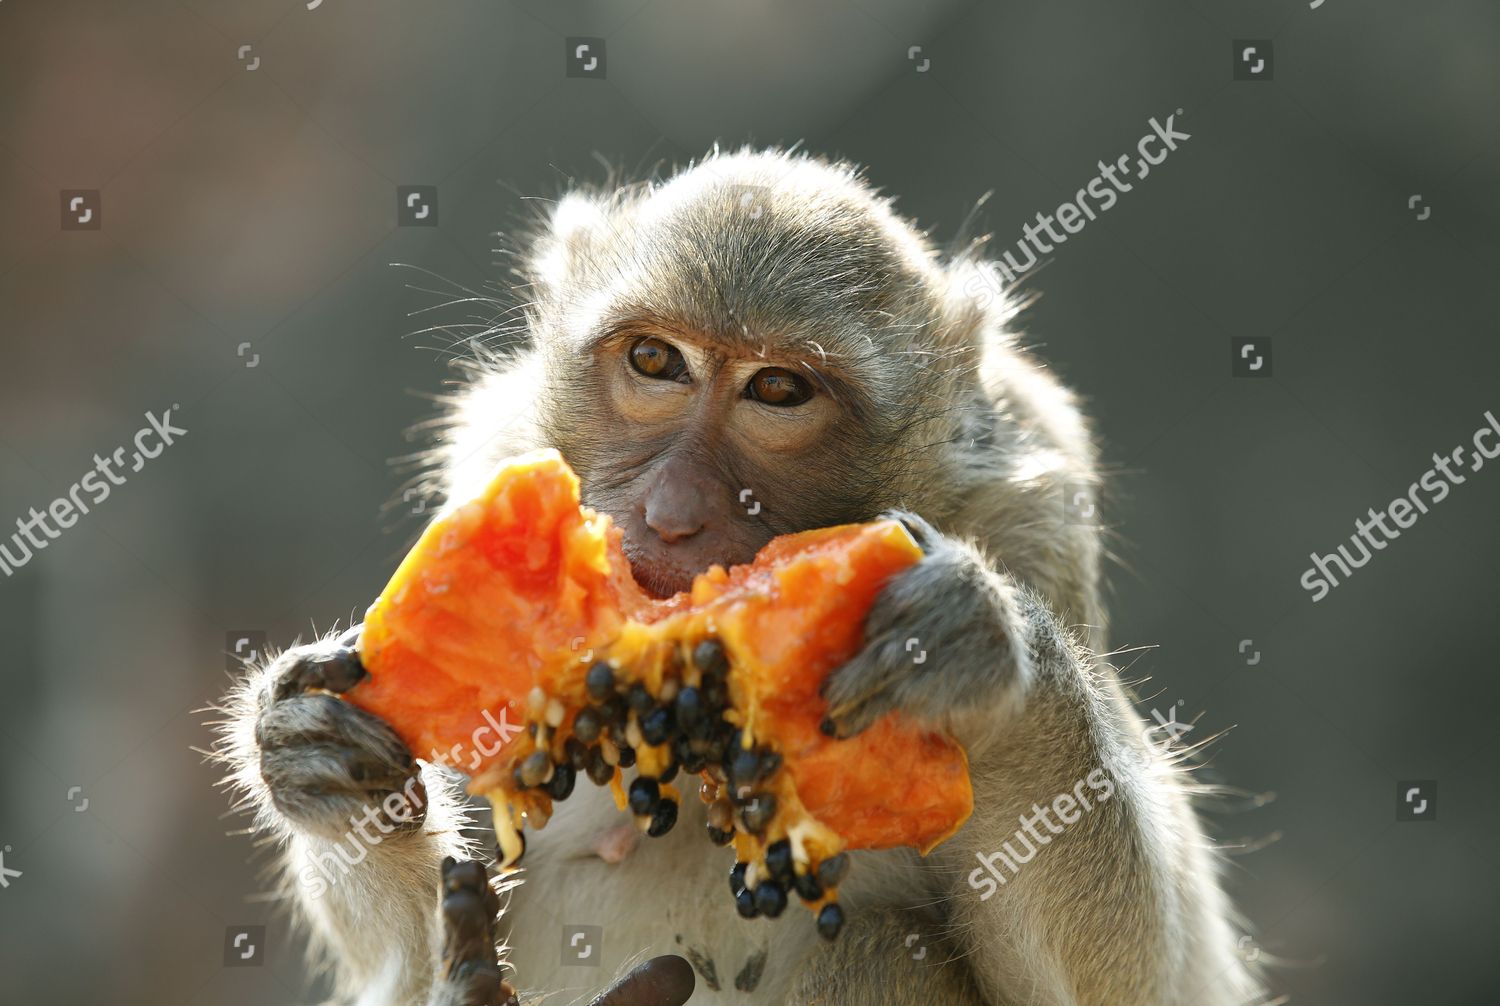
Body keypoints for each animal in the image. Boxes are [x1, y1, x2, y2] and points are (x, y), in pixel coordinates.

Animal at [214, 148, 1270, 1005]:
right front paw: (321, 762)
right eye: (654, 359)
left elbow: (1144, 983)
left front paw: (976, 645)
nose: (672, 509)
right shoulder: (491, 446)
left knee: (884, 951)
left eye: (778, 389)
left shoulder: (1039, 512)